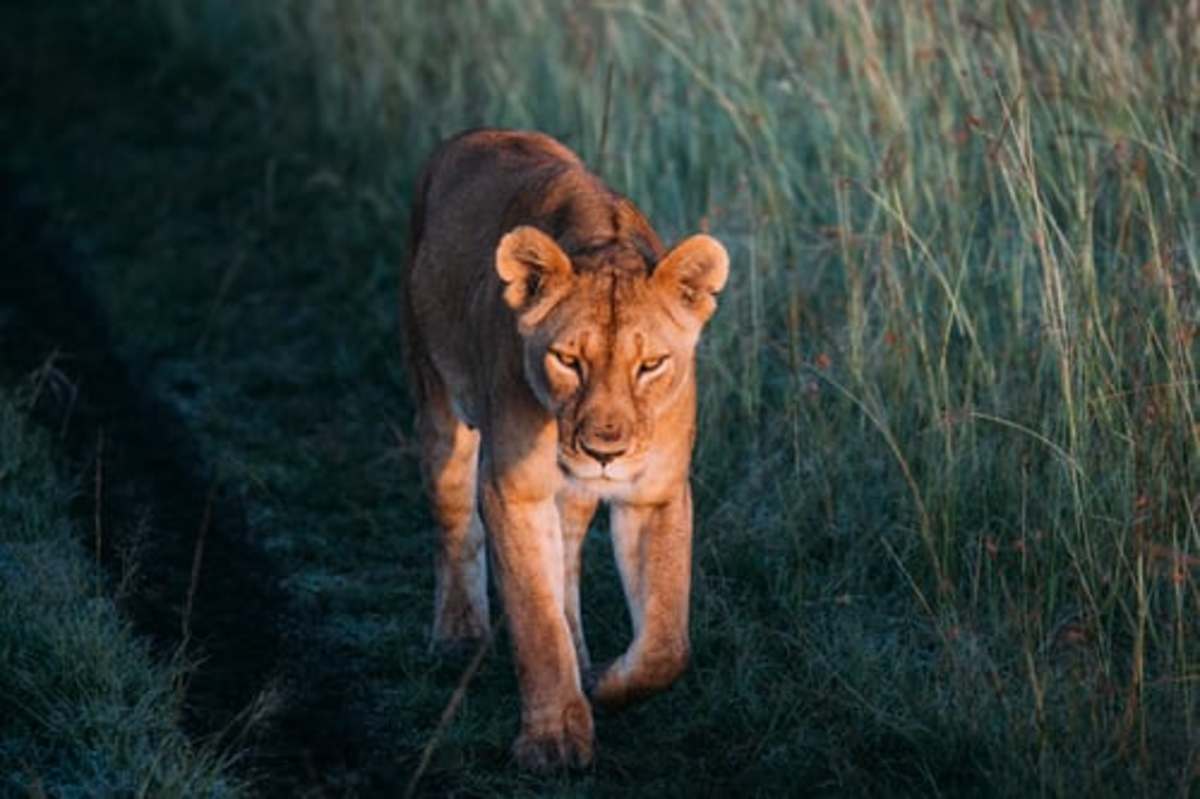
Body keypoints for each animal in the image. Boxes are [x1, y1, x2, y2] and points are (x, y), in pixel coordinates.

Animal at [403, 129, 729, 771]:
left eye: (651, 364)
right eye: (568, 360)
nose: (605, 451)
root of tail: (473, 135)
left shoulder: (654, 495)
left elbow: (665, 641)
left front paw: (605, 683)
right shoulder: (514, 491)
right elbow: (535, 618)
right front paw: (553, 738)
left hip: (571, 495)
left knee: (569, 564)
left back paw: (581, 656)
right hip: (438, 401)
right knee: (455, 522)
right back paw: (457, 631)